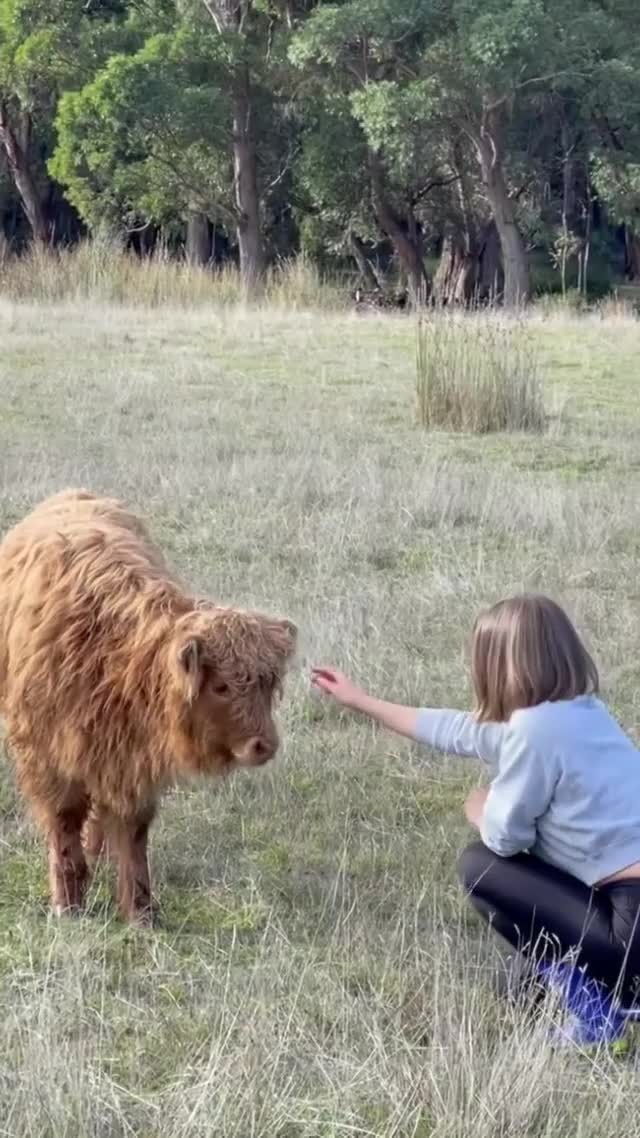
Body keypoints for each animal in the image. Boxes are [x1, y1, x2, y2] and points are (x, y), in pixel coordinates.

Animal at [0, 490, 296, 925]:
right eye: (221, 687)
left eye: (267, 683)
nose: (264, 746)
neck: (114, 657)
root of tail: (74, 493)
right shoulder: (49, 758)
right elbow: (64, 827)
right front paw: (67, 905)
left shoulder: (132, 765)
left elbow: (133, 836)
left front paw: (140, 912)